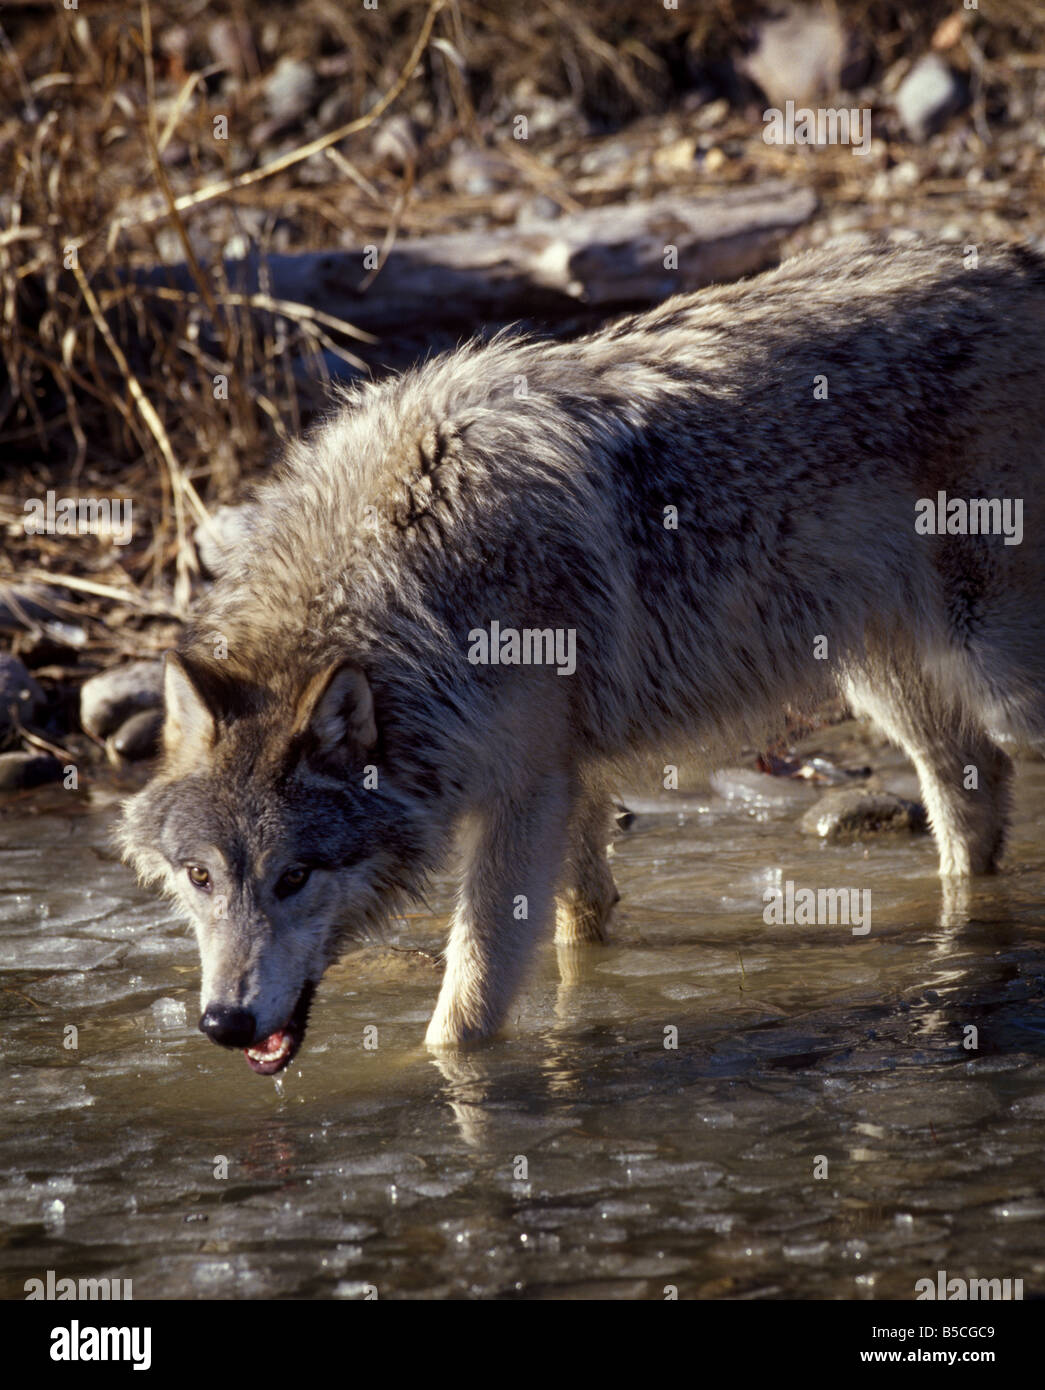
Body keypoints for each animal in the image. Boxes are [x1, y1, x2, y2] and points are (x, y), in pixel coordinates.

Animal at [119, 241, 1045, 1072]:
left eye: (295, 876)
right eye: (200, 877)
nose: (225, 1024)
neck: (405, 579)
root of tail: (1017, 260)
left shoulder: (524, 794)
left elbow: (467, 1006)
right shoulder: (567, 775)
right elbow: (580, 922)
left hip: (995, 676)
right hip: (882, 677)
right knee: (970, 790)